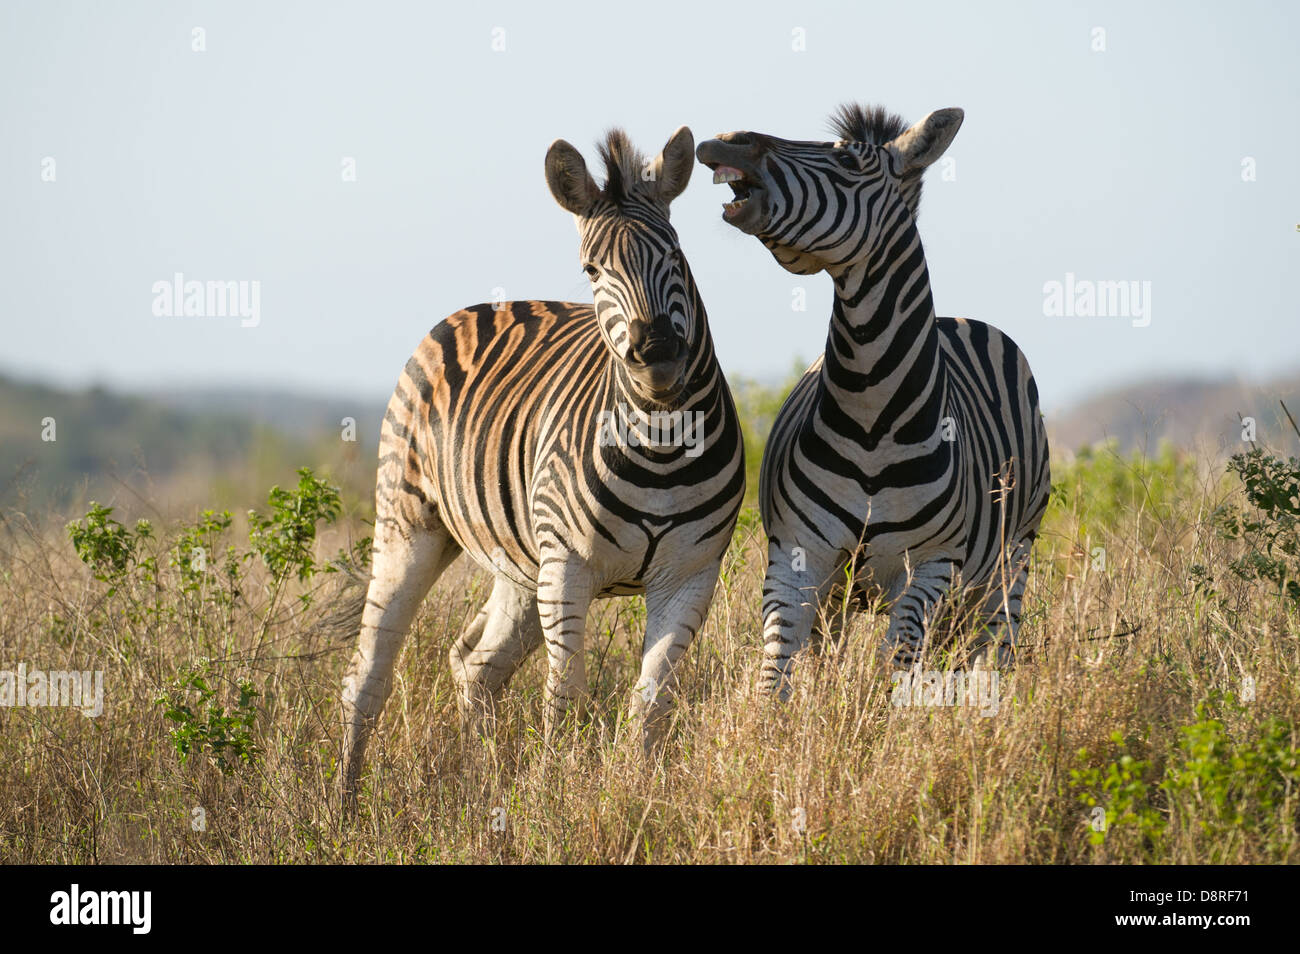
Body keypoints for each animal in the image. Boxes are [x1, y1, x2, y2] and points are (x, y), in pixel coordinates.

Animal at [340, 126, 745, 800]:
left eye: (675, 253)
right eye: (592, 269)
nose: (657, 353)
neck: (661, 445)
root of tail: (477, 309)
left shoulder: (689, 576)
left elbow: (650, 704)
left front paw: (635, 796)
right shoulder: (570, 568)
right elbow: (565, 698)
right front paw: (558, 796)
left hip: (522, 562)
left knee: (475, 665)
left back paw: (482, 784)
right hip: (412, 523)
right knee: (366, 673)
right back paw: (344, 804)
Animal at [696, 104, 1050, 697]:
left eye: (845, 160)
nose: (723, 140)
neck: (871, 420)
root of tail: (958, 318)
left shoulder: (929, 569)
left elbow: (898, 667)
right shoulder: (798, 555)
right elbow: (775, 672)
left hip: (1012, 560)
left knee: (992, 649)